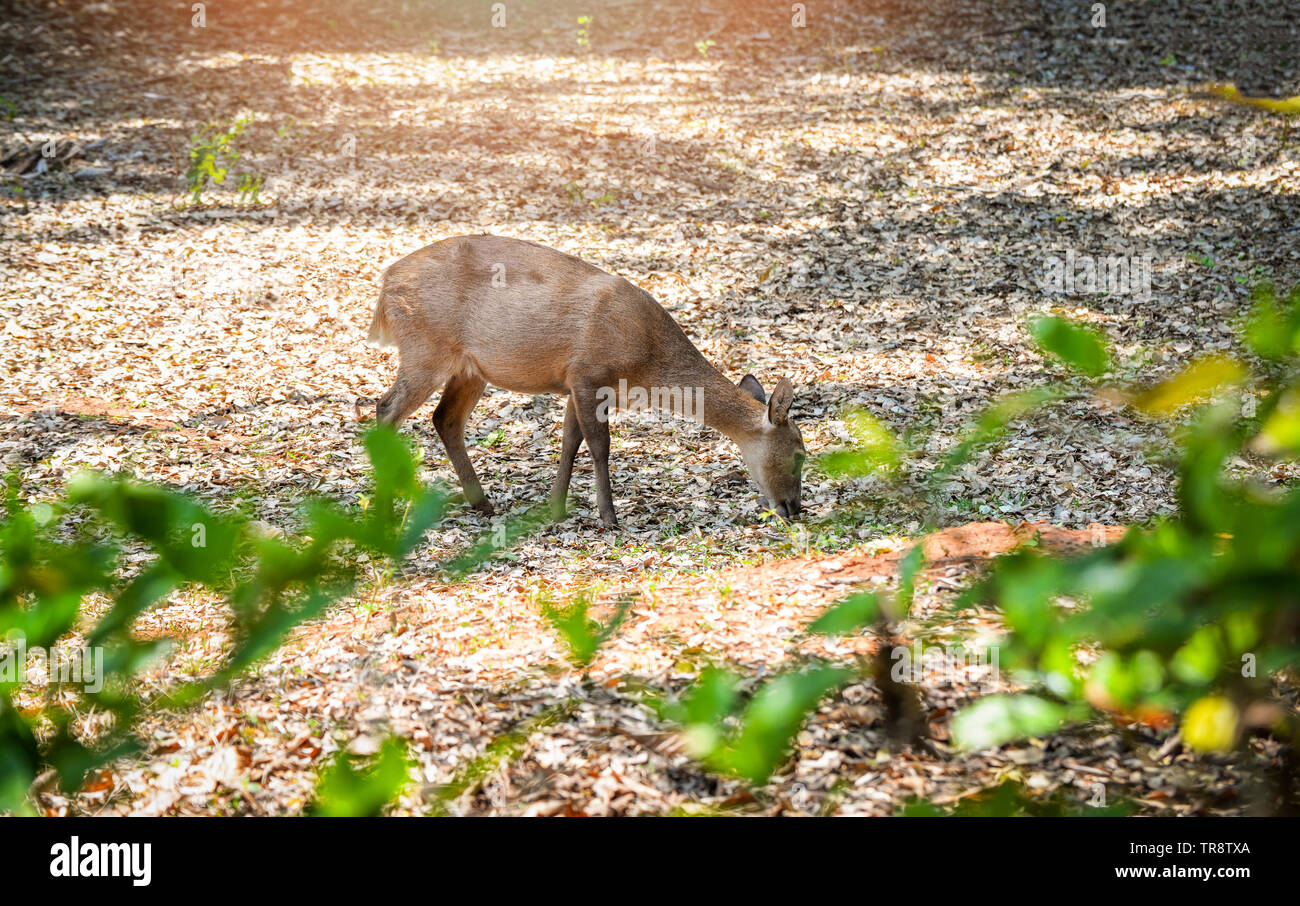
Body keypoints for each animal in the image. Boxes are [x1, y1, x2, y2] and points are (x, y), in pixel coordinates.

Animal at [368, 235, 806, 528]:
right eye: (801, 453)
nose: (794, 508)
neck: (645, 364)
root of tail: (385, 285)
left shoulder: (576, 383)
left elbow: (570, 439)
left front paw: (557, 507)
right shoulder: (588, 372)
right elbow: (599, 445)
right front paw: (609, 517)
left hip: (470, 368)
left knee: (444, 418)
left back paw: (482, 503)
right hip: (425, 348)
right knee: (385, 409)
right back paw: (385, 510)